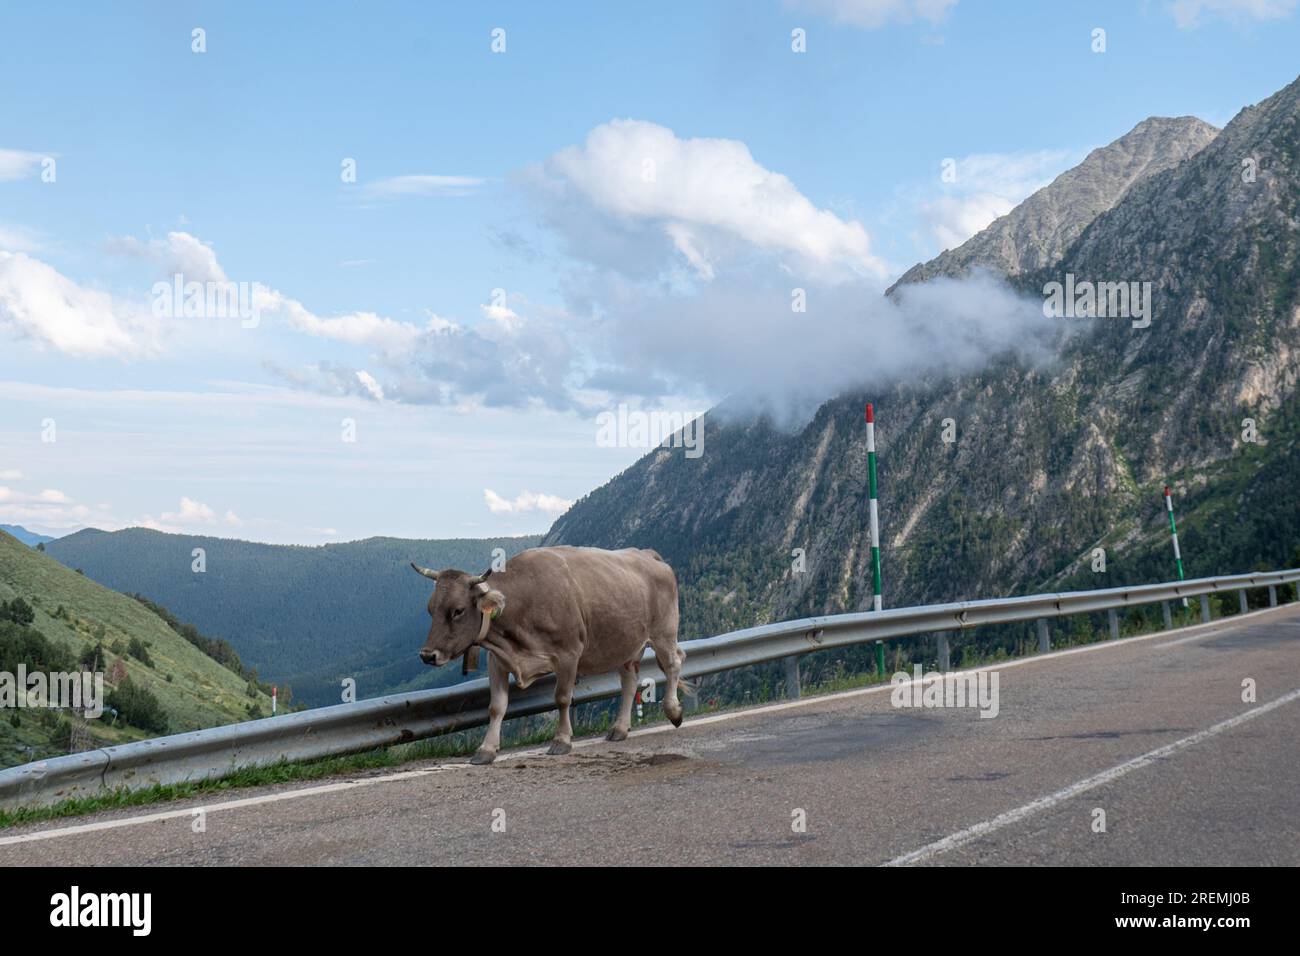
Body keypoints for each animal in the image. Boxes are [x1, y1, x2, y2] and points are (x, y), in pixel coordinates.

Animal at [411, 546, 686, 764]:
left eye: (457, 610)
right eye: (430, 609)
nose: (427, 655)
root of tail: (645, 554)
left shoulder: (568, 654)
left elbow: (562, 698)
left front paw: (561, 740)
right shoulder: (497, 660)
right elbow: (496, 707)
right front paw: (486, 749)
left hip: (664, 632)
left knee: (673, 663)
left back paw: (673, 711)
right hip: (626, 644)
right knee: (629, 682)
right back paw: (619, 728)